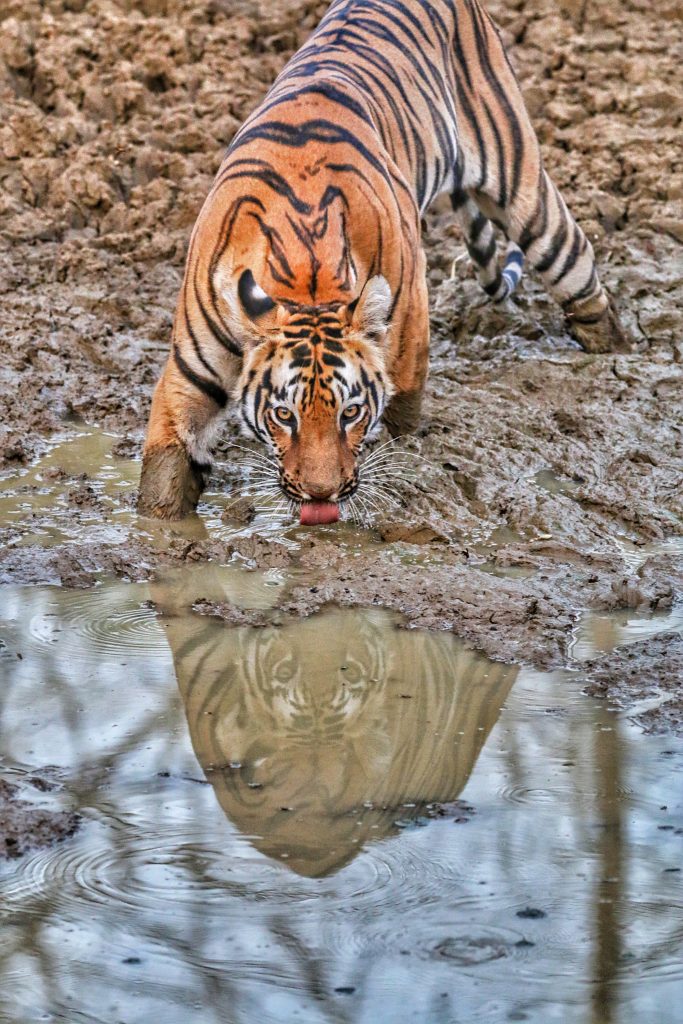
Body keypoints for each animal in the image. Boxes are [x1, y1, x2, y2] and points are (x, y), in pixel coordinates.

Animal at [138, 0, 629, 522]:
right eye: (283, 415)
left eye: (350, 412)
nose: (321, 494)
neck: (305, 275)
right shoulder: (189, 376)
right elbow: (166, 471)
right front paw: (160, 526)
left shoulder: (410, 313)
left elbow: (402, 408)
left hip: (524, 191)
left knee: (578, 266)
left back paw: (616, 350)